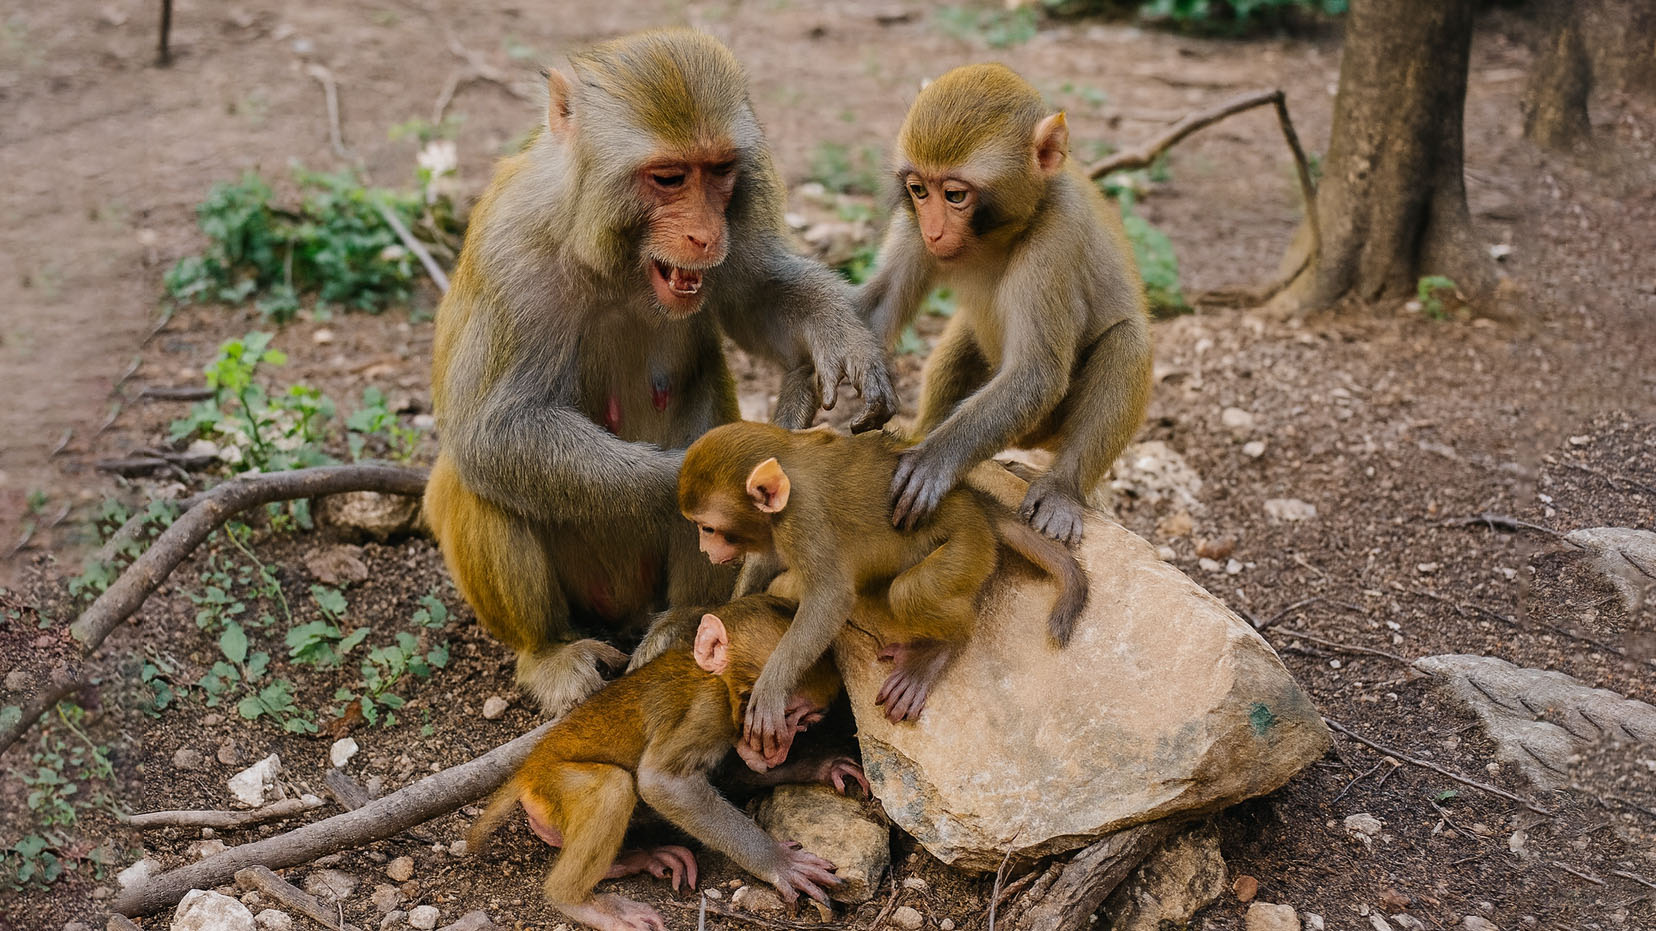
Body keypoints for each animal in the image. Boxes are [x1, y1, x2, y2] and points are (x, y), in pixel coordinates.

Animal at [424, 30, 896, 717]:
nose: (703, 234)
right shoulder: (509, 256)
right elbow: (494, 429)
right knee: (479, 478)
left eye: (720, 172)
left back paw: (683, 620)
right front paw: (690, 472)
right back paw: (549, 654)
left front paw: (840, 335)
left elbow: (757, 297)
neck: (616, 264)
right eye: (669, 178)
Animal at [469, 593, 864, 931]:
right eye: (785, 720)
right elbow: (662, 782)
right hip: (552, 784)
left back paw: (634, 860)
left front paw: (823, 767)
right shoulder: (709, 708)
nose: (778, 753)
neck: (717, 679)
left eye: (805, 725)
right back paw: (579, 901)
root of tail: (527, 771)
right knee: (611, 787)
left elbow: (729, 774)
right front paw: (779, 863)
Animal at [678, 421, 1088, 760]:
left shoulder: (803, 520)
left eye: (709, 528)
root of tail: (975, 504)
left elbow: (831, 597)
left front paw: (769, 690)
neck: (790, 466)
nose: (703, 549)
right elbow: (769, 562)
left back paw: (939, 649)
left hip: (969, 545)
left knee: (909, 593)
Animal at [858, 63, 1153, 545]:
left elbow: (1036, 373)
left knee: (1127, 342)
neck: (998, 234)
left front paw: (933, 461)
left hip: (1047, 426)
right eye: (919, 190)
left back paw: (1062, 489)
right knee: (963, 341)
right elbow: (882, 301)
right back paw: (915, 433)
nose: (934, 232)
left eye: (955, 195)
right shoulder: (911, 220)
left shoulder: (1057, 236)